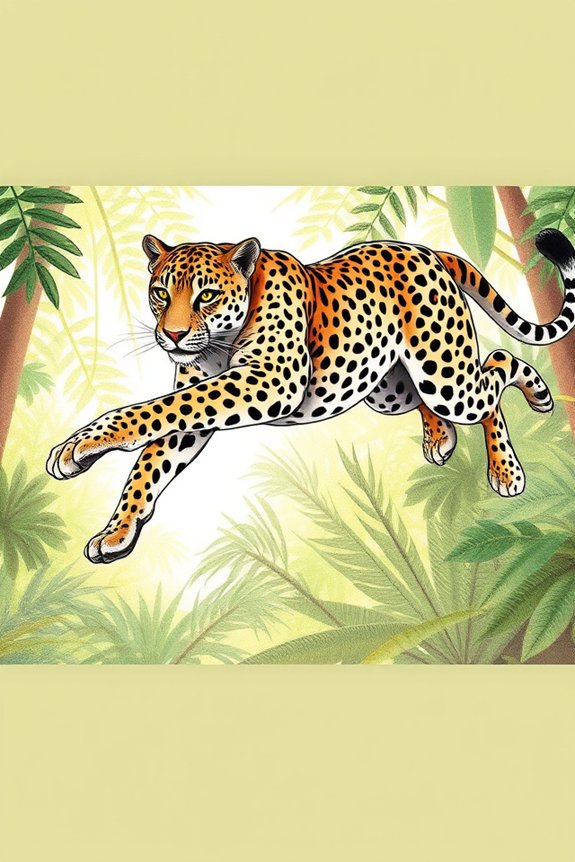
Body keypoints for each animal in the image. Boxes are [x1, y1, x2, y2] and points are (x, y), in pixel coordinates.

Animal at [46, 227, 575, 564]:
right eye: (160, 292)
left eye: (206, 296)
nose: (171, 336)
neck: (218, 344)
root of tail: (426, 250)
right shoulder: (196, 408)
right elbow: (149, 464)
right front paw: (116, 532)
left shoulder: (267, 382)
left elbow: (150, 411)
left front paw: (79, 446)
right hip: (389, 386)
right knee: (446, 394)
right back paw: (440, 438)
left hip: (444, 375)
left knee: (496, 371)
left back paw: (517, 444)